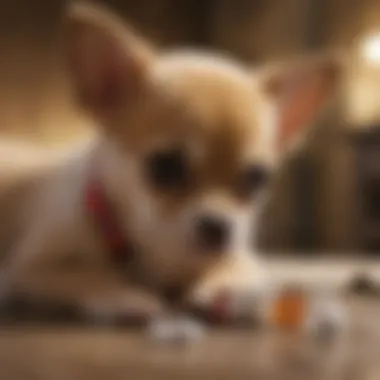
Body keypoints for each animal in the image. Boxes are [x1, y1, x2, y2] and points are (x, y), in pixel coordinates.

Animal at [0, 2, 342, 324]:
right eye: (166, 166)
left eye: (257, 179)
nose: (218, 227)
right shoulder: (29, 268)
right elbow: (86, 275)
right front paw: (123, 295)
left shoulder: (241, 258)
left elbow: (235, 269)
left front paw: (226, 290)